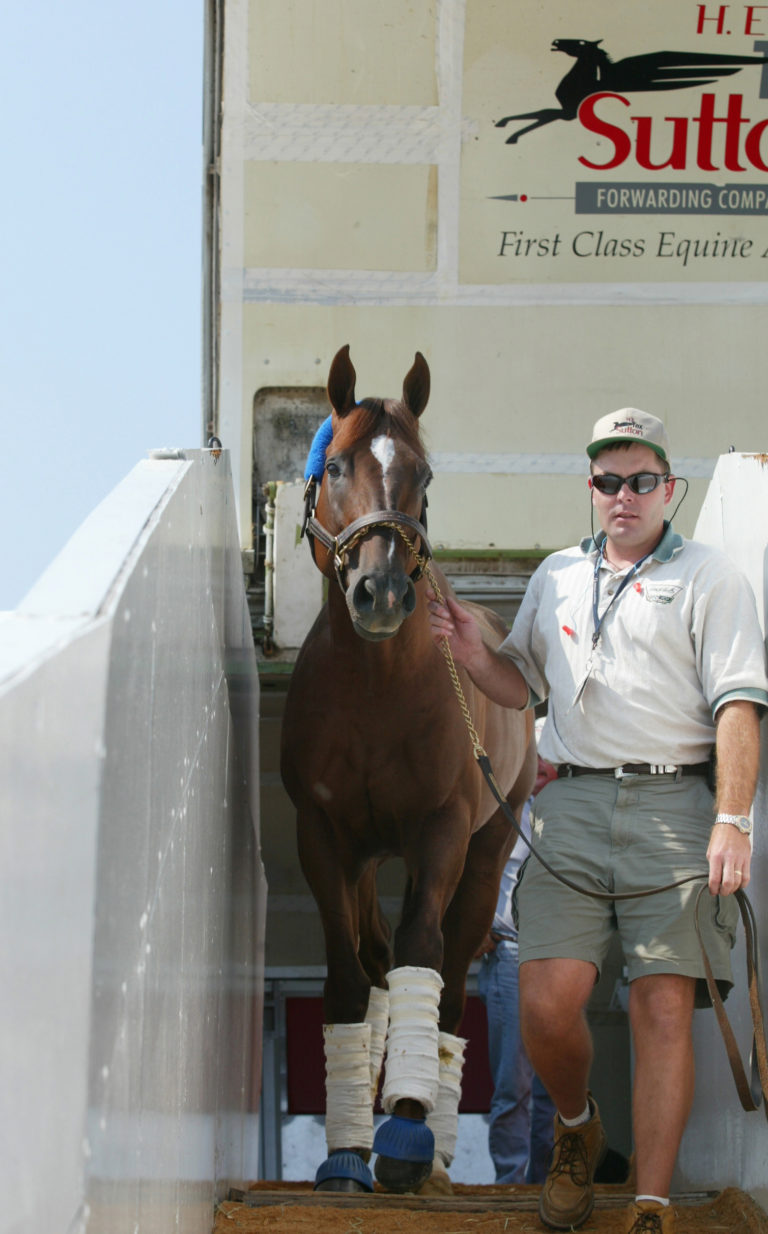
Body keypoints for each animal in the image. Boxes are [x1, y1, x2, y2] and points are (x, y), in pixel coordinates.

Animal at [280, 344, 536, 1194]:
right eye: (336, 468)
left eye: (423, 473)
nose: (382, 592)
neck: (377, 690)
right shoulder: (324, 837)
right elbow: (350, 977)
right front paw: (345, 1150)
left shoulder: (442, 831)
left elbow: (424, 952)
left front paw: (405, 1129)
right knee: (377, 961)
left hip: (488, 857)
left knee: (449, 983)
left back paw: (436, 1144)